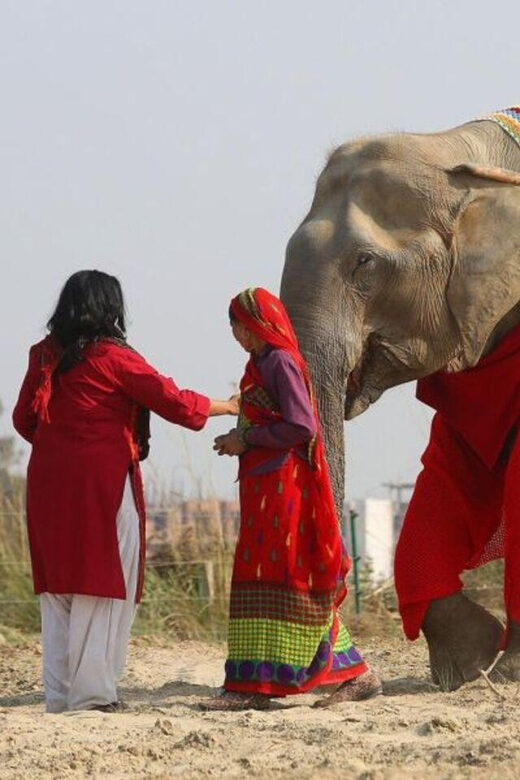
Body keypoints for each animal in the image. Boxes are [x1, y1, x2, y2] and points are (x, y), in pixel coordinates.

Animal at [280, 107, 520, 691]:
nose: (346, 684)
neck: (458, 151)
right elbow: (447, 465)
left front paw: (502, 672)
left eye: (365, 263)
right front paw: (467, 668)